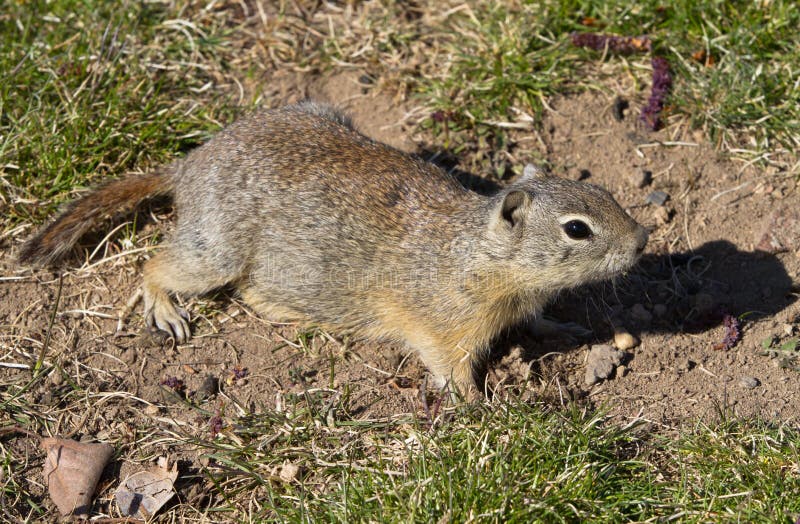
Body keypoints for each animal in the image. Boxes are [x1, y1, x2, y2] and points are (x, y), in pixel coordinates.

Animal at [18, 101, 647, 398]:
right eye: (576, 230)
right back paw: (165, 308)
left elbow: (540, 323)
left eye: (604, 192)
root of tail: (188, 166)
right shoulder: (445, 328)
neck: (481, 258)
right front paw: (480, 405)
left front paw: (564, 327)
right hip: (214, 251)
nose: (643, 240)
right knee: (157, 264)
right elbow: (450, 369)